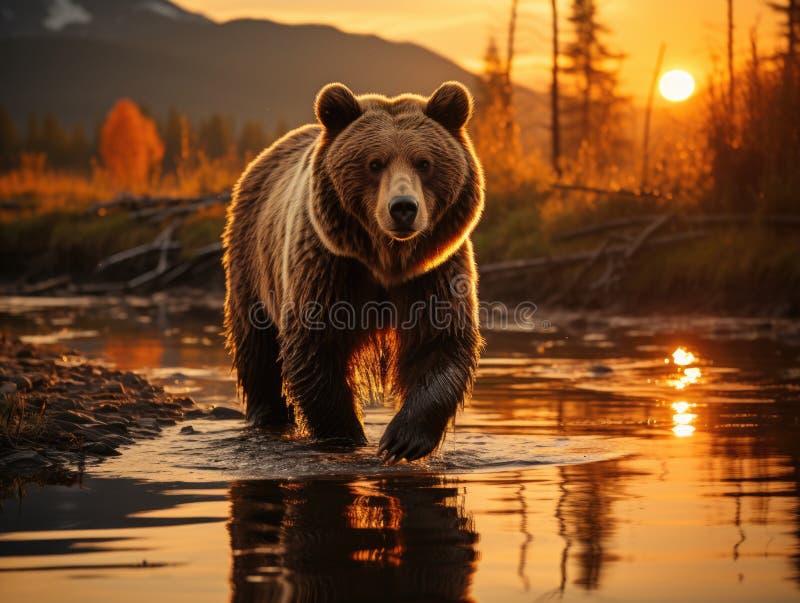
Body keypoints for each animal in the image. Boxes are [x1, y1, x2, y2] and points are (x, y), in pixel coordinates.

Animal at [222, 81, 484, 463]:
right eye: (374, 163)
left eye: (424, 163)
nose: (403, 208)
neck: (386, 260)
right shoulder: (329, 267)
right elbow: (317, 347)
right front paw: (346, 436)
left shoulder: (433, 274)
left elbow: (439, 343)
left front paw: (403, 440)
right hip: (251, 259)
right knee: (257, 348)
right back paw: (267, 416)